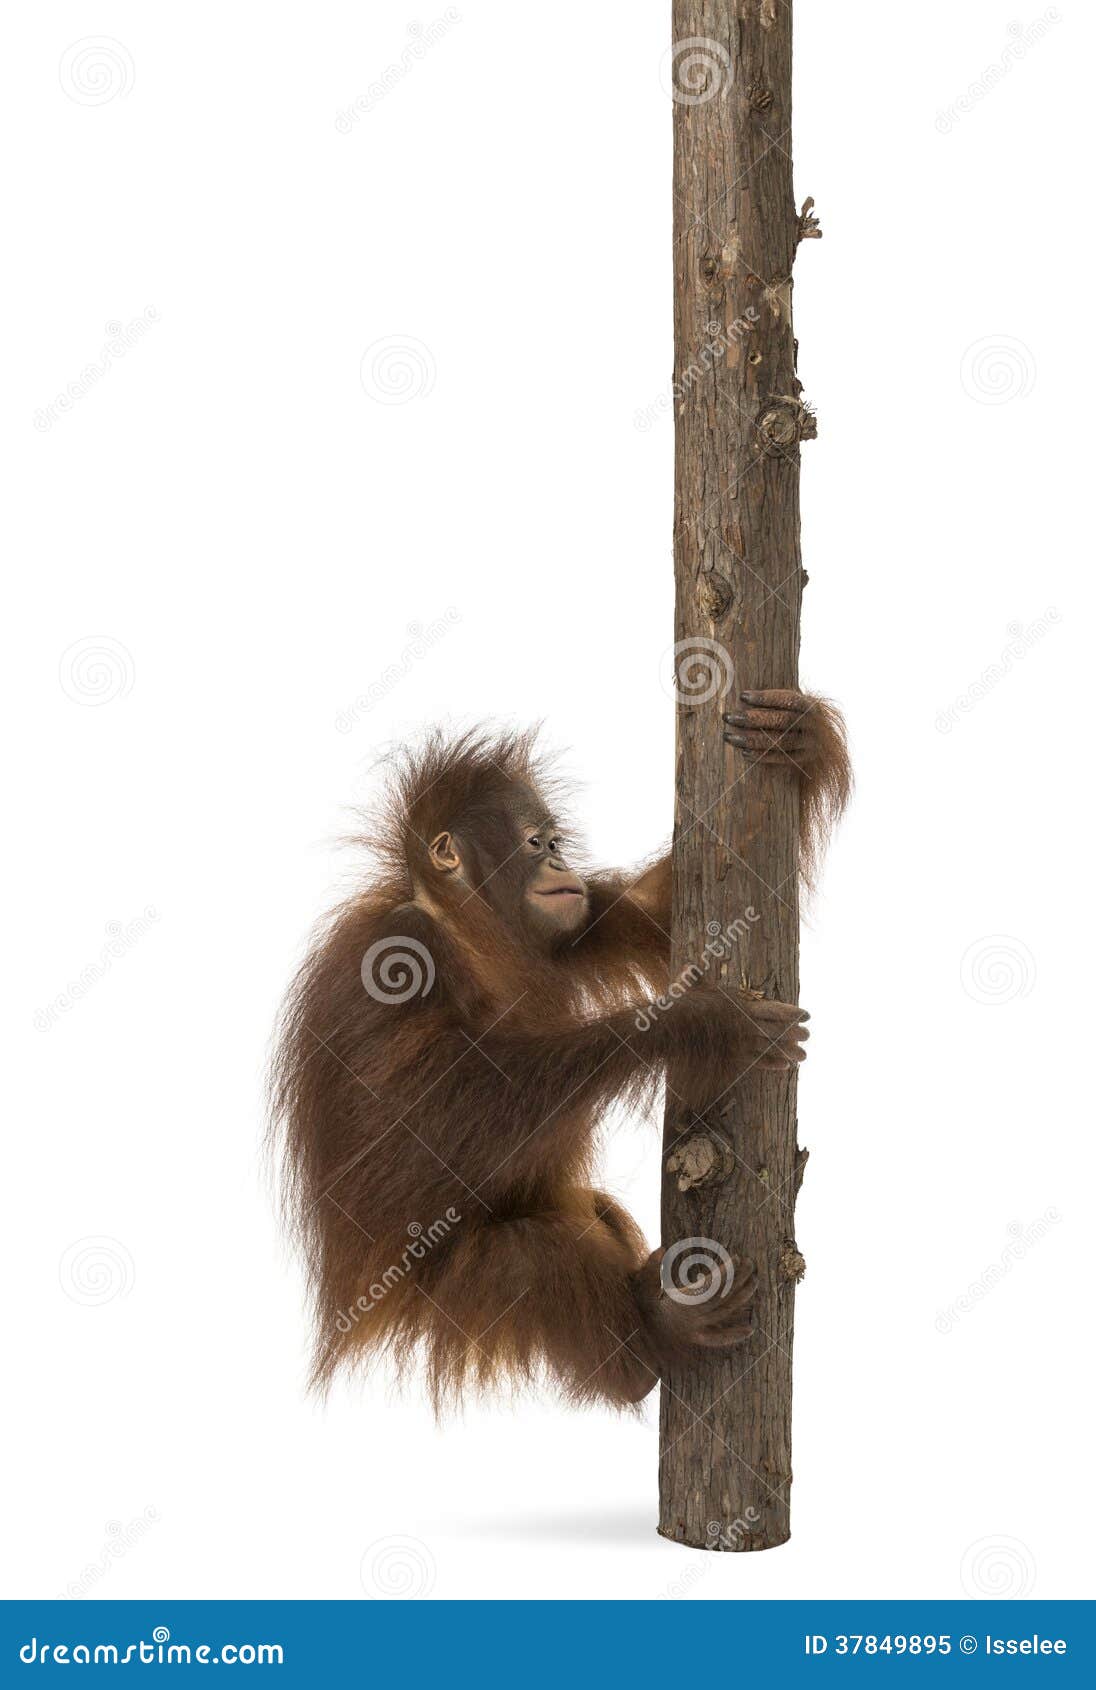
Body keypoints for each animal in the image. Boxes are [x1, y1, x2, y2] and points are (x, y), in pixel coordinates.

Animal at [270, 689, 849, 1411]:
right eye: (533, 842)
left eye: (555, 841)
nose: (559, 862)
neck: (466, 930)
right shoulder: (394, 955)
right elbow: (424, 1119)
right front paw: (702, 1024)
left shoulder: (577, 918)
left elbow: (651, 907)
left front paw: (797, 735)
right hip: (436, 1298)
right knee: (523, 1257)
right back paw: (656, 1334)